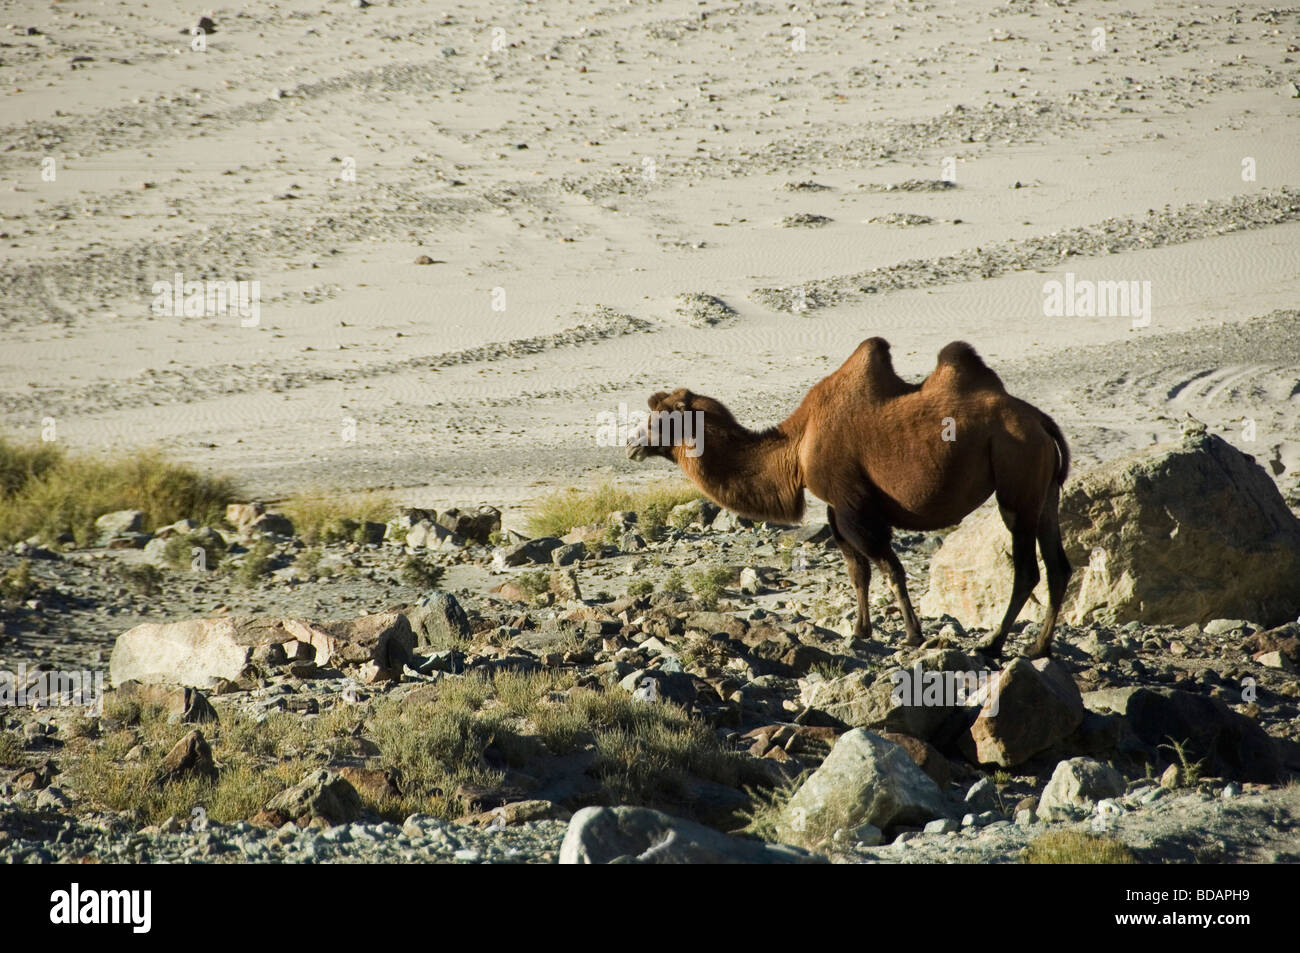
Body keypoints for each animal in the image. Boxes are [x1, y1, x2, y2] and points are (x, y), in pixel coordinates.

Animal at [626, 337, 1072, 659]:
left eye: (663, 418)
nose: (632, 444)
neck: (797, 446)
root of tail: (1041, 422)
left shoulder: (853, 505)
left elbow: (889, 567)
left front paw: (912, 635)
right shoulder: (836, 511)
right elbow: (859, 571)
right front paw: (861, 630)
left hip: (1016, 477)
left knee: (1027, 569)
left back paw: (994, 644)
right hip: (1045, 491)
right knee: (1058, 566)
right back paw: (1038, 646)